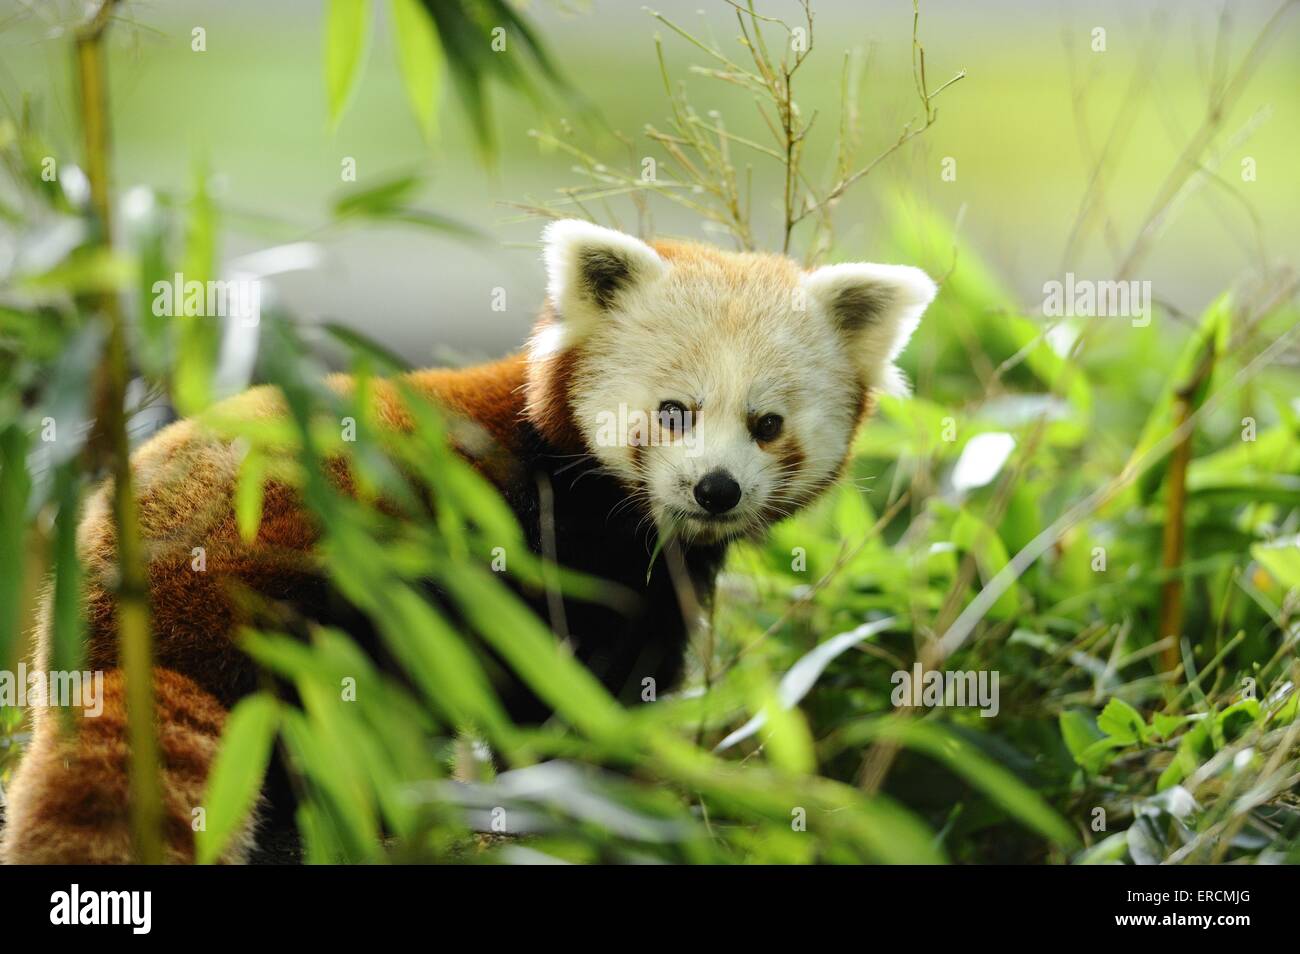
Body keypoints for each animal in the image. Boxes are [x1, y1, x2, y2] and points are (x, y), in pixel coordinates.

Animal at [0, 220, 935, 863]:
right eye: (675, 412)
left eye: (766, 423)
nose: (715, 488)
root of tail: (125, 612)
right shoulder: (551, 562)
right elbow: (564, 710)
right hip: (306, 602)